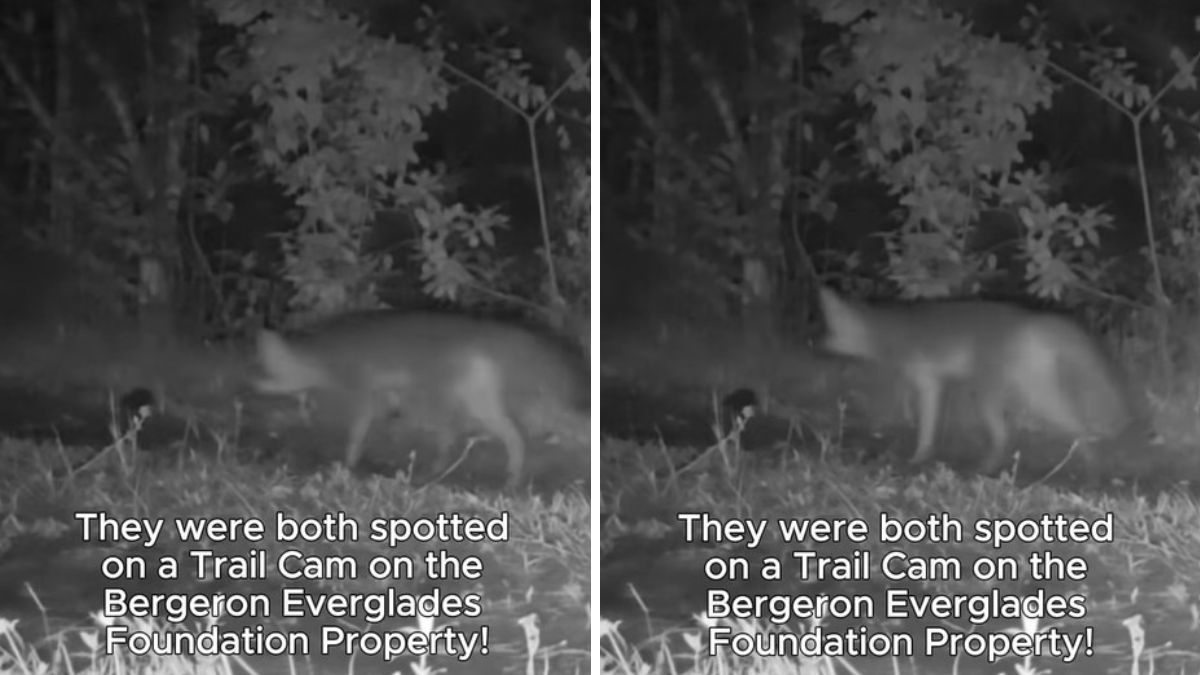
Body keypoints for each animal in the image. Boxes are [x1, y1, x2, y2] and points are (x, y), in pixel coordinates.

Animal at [252, 310, 589, 488]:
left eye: (266, 370)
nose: (252, 383)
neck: (322, 352)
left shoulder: (363, 389)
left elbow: (356, 432)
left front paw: (349, 461)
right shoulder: (384, 391)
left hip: (445, 395)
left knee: (450, 435)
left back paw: (437, 469)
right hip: (479, 402)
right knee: (515, 437)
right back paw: (511, 477)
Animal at [815, 286, 1140, 474]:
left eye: (829, 332)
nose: (814, 344)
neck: (885, 329)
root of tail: (1029, 319)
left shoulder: (921, 378)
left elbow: (910, 418)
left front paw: (913, 454)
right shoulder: (932, 381)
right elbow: (925, 422)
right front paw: (922, 451)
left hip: (992, 397)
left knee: (1007, 434)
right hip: (1036, 393)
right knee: (1069, 426)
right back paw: (1090, 460)